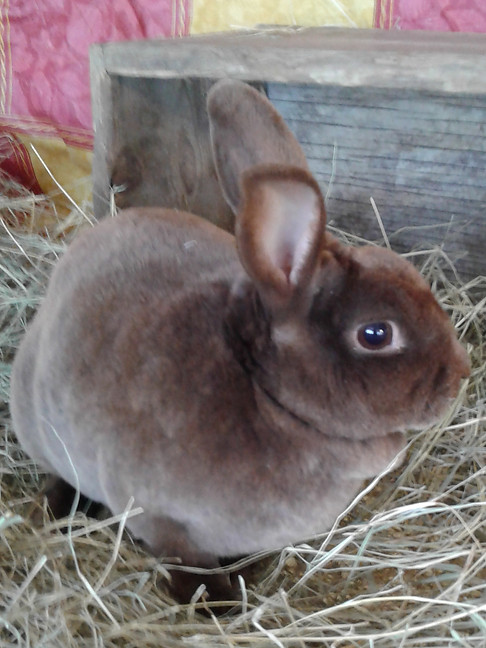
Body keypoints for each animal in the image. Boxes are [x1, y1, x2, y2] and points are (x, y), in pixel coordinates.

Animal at [10, 79, 470, 603]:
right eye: (376, 334)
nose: (461, 374)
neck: (265, 391)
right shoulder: (157, 514)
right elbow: (188, 564)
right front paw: (218, 603)